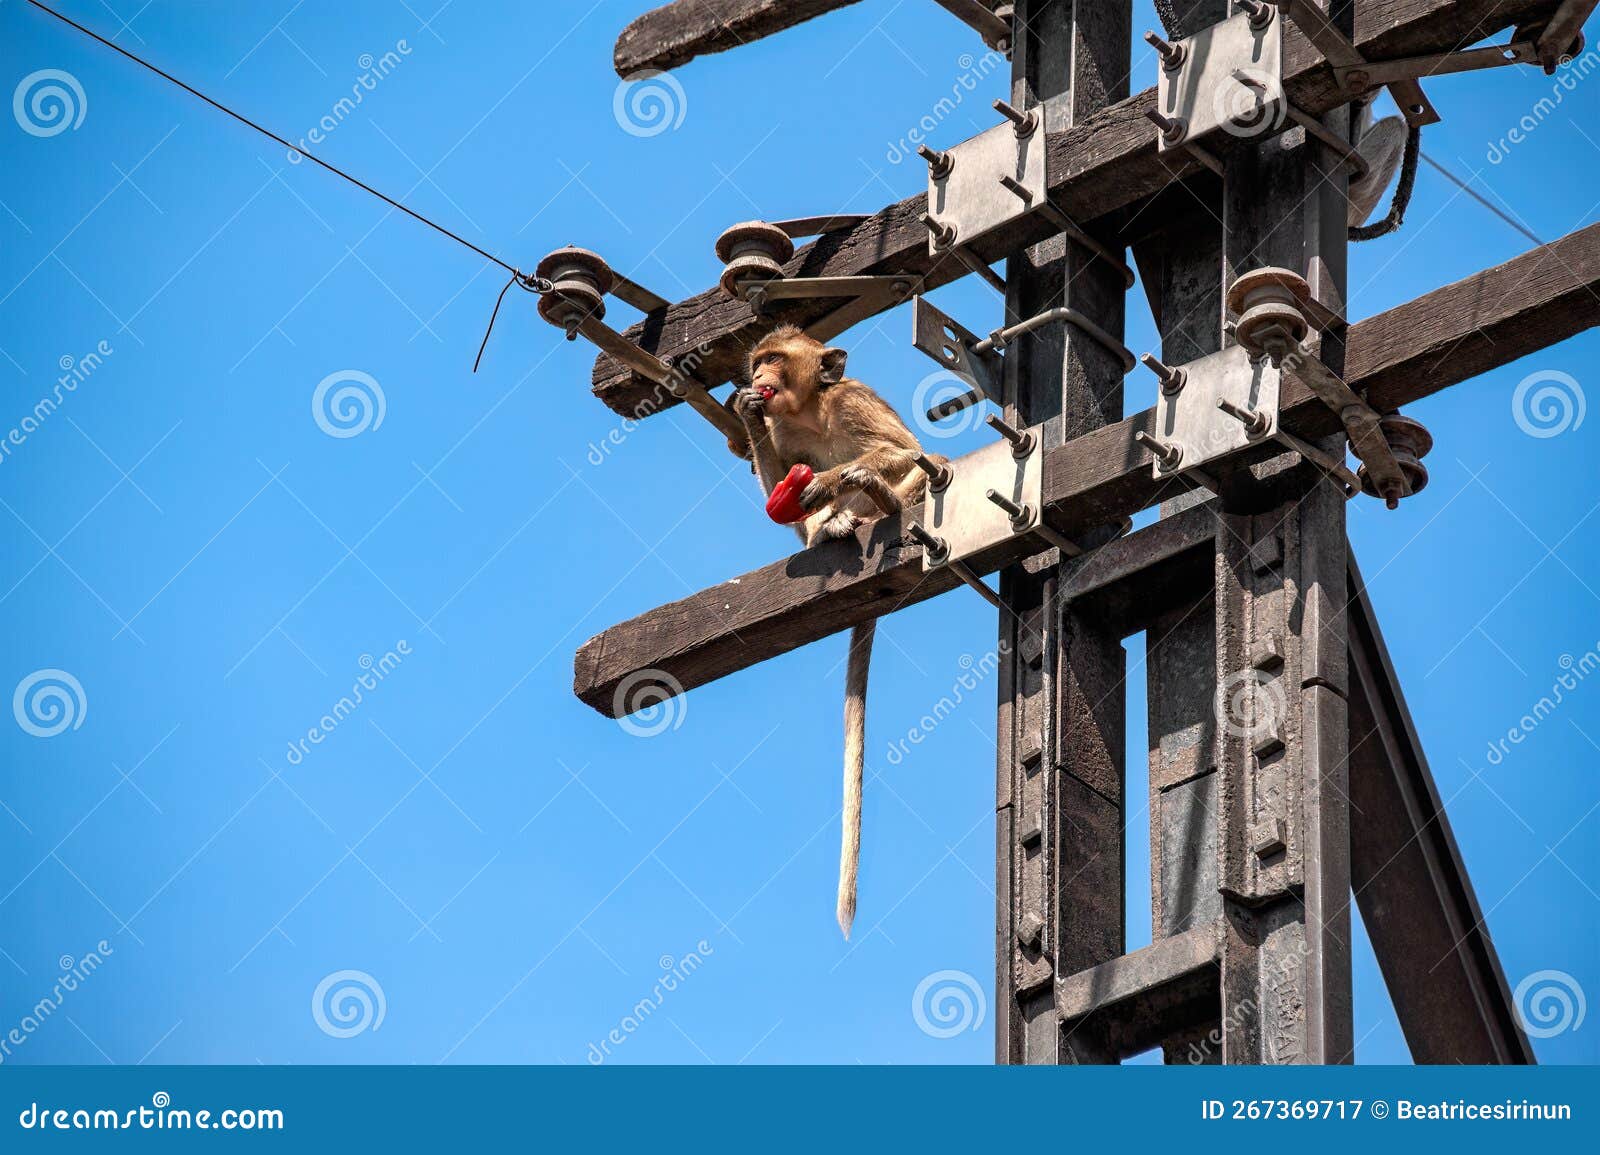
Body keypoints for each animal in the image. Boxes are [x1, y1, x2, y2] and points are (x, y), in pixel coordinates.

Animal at [729, 325, 938, 938]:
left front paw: (824, 482)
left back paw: (872, 502)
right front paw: (746, 413)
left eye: (775, 359)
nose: (757, 378)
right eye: (758, 361)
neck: (811, 410)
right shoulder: (784, 429)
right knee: (813, 525)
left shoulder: (853, 400)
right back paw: (835, 527)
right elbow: (782, 495)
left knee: (927, 461)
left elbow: (903, 447)